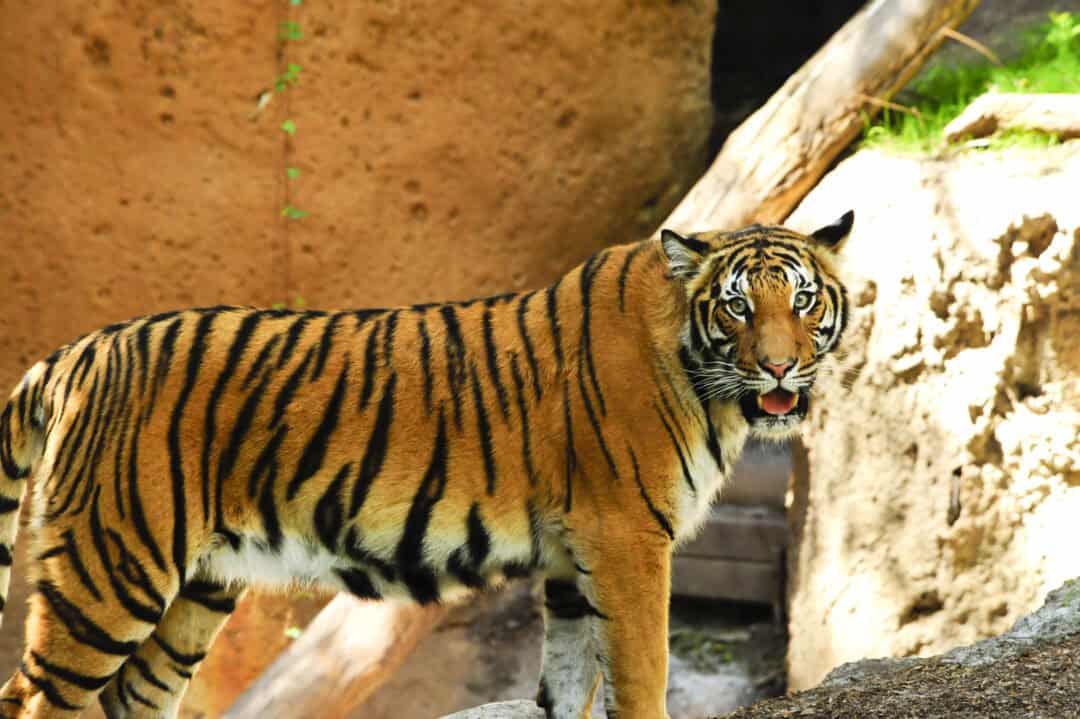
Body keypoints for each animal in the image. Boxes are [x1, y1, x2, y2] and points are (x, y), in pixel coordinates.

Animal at [0, 212, 852, 719]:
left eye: (803, 300)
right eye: (737, 306)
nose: (779, 367)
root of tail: (74, 352)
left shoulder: (576, 556)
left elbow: (570, 680)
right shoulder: (626, 539)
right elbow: (641, 674)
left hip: (195, 589)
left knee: (130, 697)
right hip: (111, 571)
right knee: (34, 698)